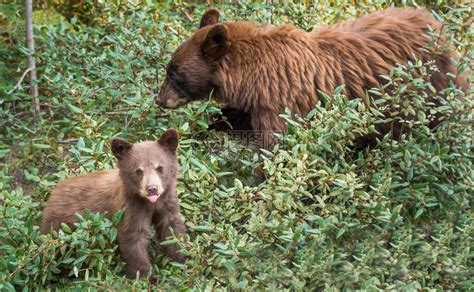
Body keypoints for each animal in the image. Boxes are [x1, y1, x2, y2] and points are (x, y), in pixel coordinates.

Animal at [157, 7, 468, 148]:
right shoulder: (256, 103)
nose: (159, 100)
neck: (253, 75)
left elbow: (277, 150)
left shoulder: (284, 103)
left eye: (174, 73)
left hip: (432, 91)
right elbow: (232, 119)